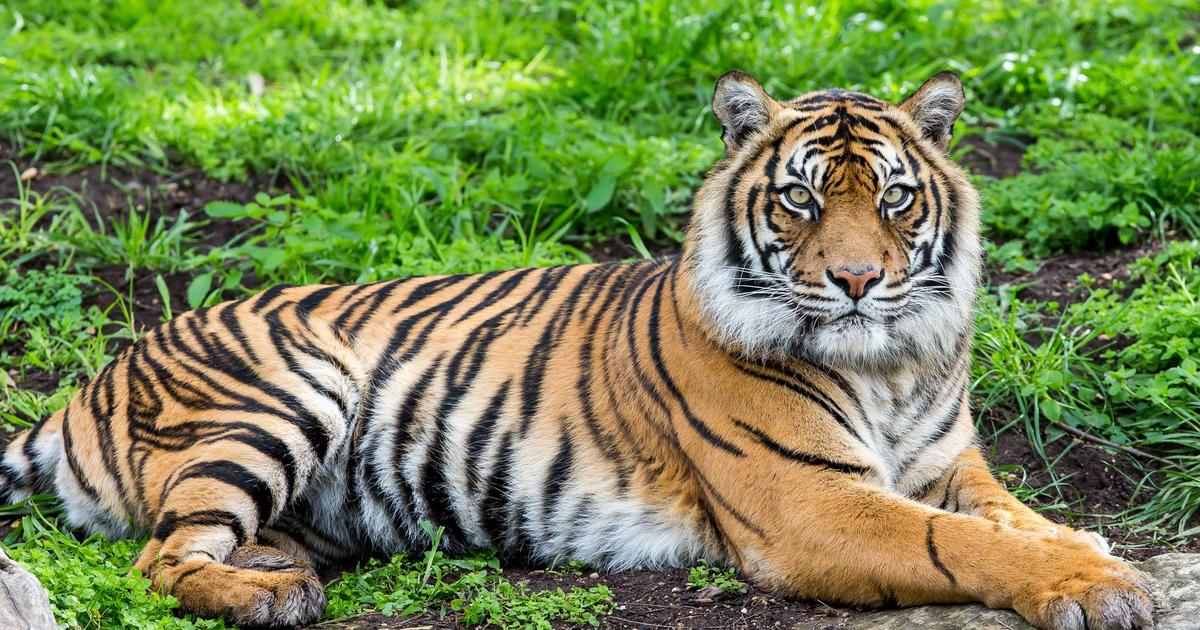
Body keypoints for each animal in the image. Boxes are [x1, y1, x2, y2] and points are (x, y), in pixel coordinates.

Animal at [1, 70, 1154, 629]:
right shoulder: (811, 501)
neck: (892, 361)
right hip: (282, 394)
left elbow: (1018, 518)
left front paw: (1092, 553)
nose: (858, 281)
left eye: (896, 199)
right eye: (801, 200)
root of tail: (90, 380)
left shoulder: (948, 465)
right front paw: (1098, 587)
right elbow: (964, 545)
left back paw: (279, 564)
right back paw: (268, 596)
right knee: (161, 557)